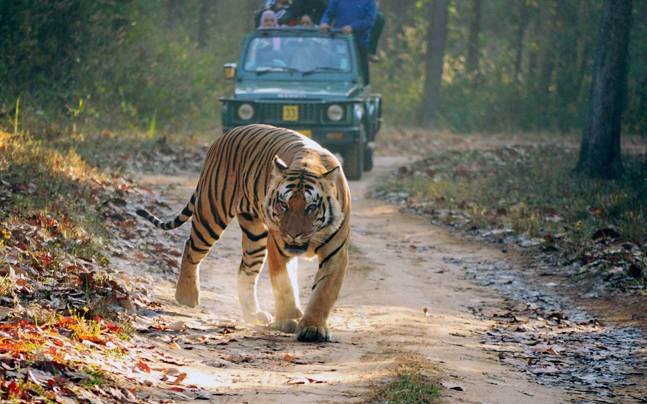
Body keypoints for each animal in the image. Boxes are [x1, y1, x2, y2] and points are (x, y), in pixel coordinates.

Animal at [136, 124, 351, 342]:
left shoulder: (335, 253)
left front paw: (313, 328)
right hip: (212, 213)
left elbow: (323, 292)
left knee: (245, 270)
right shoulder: (278, 247)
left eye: (311, 207)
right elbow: (284, 285)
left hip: (254, 235)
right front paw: (287, 319)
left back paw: (253, 313)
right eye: (283, 204)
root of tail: (224, 136)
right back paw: (187, 296)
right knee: (191, 247)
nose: (292, 234)